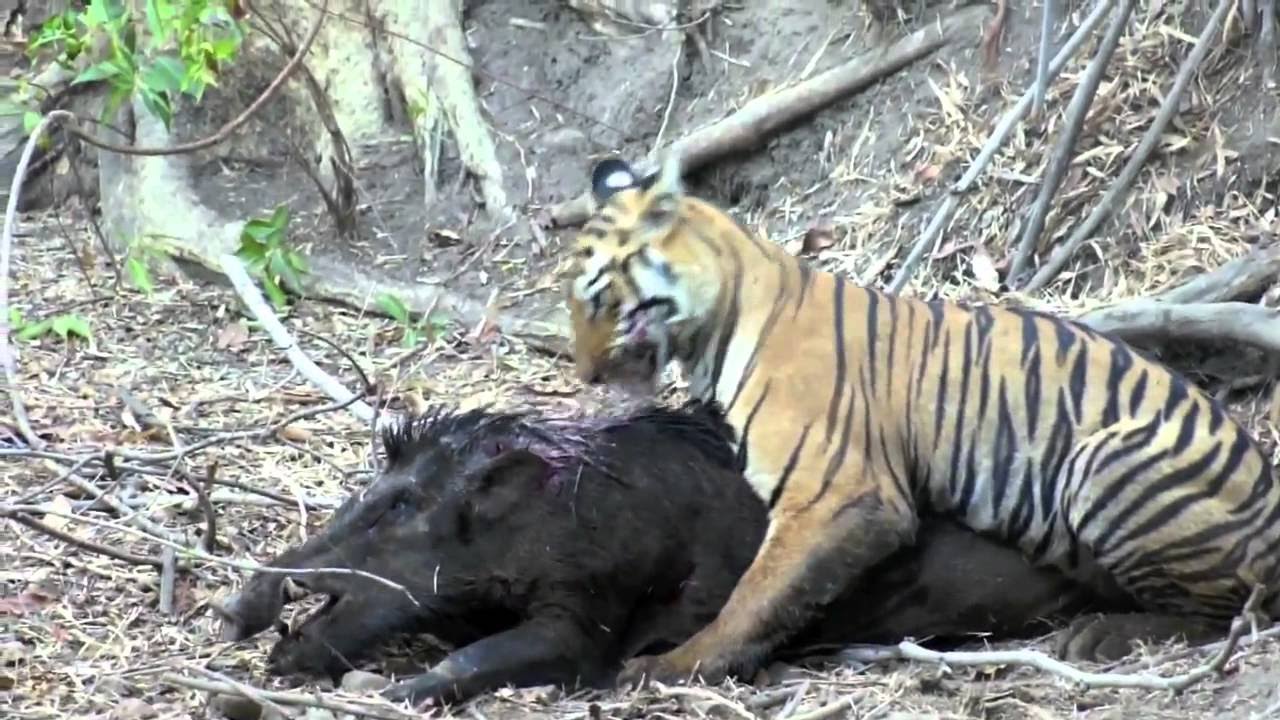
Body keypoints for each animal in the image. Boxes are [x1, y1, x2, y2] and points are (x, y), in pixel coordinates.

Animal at [563, 150, 1280, 687]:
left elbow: (756, 595)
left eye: (599, 300)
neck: (720, 317)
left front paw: (677, 666)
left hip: (1103, 463)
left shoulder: (841, 495)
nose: (586, 374)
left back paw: (1102, 635)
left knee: (1232, 612)